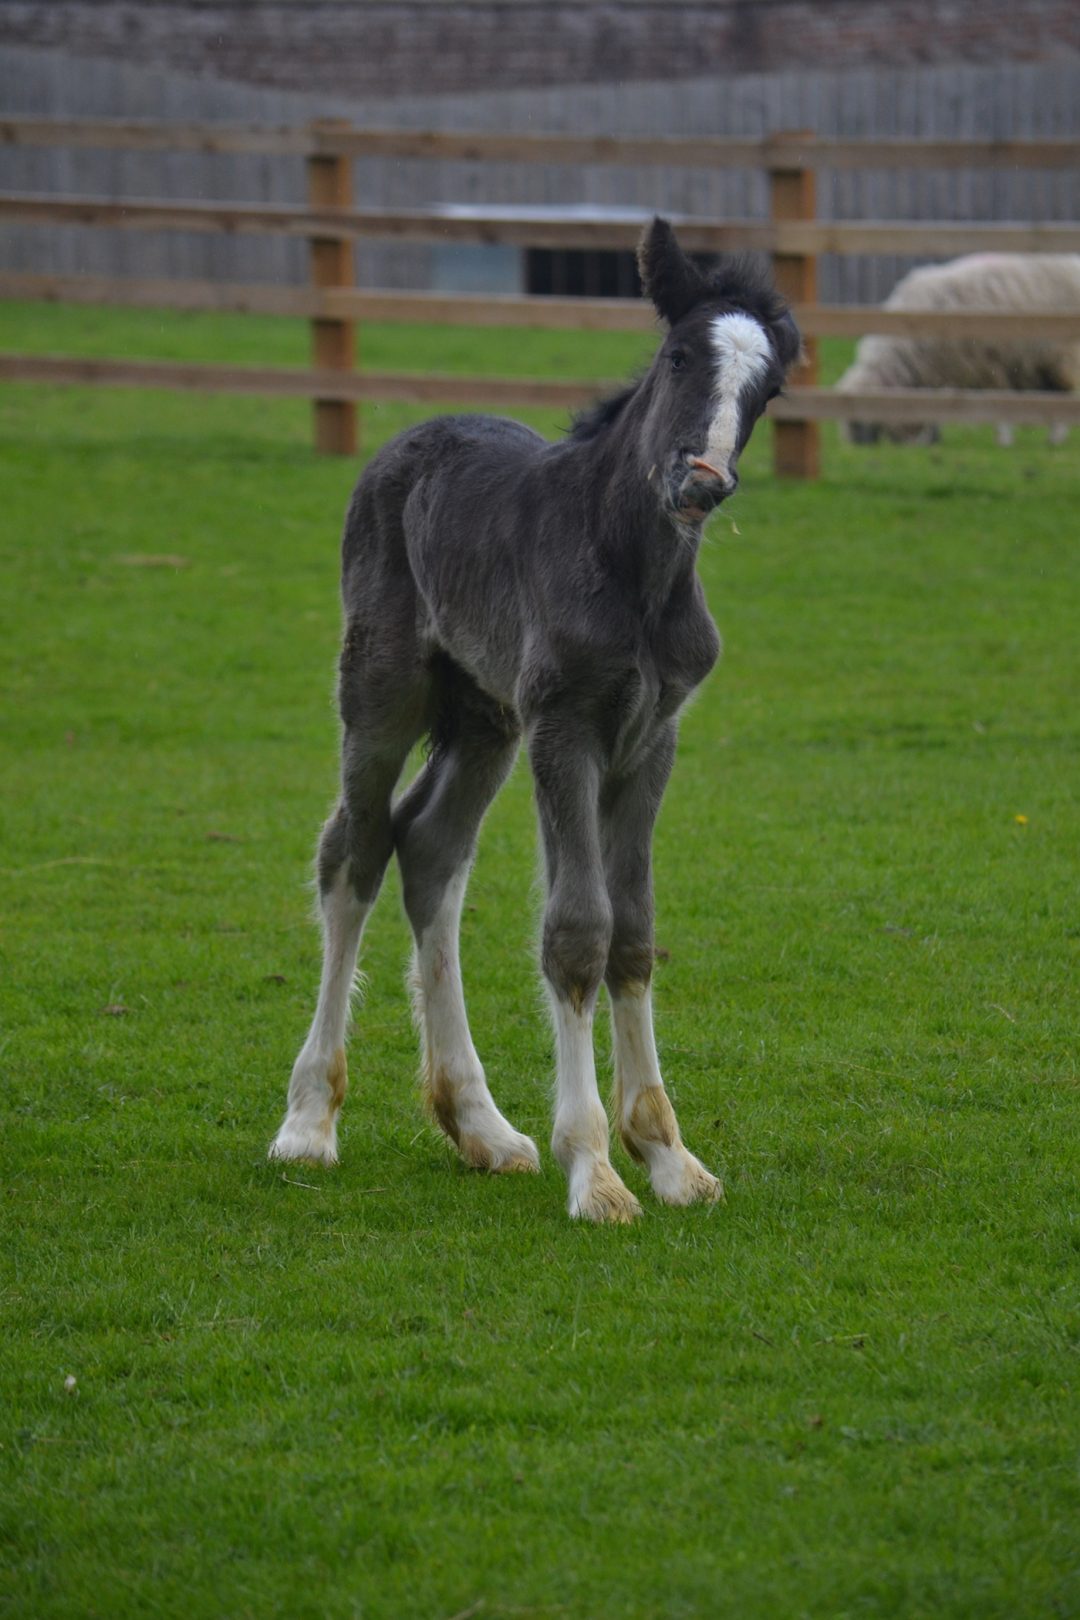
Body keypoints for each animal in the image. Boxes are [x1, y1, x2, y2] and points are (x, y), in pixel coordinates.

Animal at [269, 216, 801, 1222]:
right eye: (679, 354)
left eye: (771, 387)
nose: (701, 479)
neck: (632, 569)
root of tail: (409, 439)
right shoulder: (568, 728)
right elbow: (577, 932)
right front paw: (594, 1169)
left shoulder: (649, 740)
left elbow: (632, 932)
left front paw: (667, 1155)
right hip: (383, 691)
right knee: (354, 850)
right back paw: (310, 1121)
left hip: (485, 718)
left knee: (429, 848)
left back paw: (481, 1126)